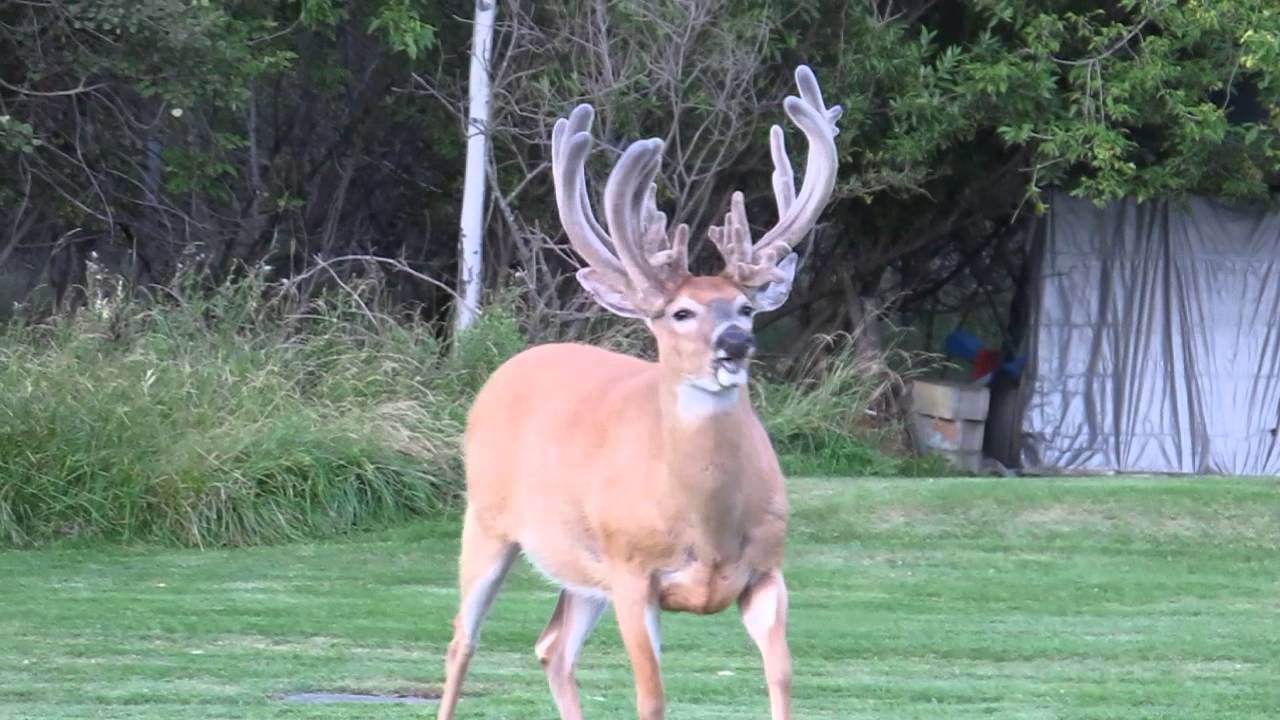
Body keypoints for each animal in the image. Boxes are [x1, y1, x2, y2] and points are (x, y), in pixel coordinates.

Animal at [436, 65, 841, 720]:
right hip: (488, 522)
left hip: (581, 569)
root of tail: (507, 367)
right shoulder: (631, 572)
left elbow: (781, 676)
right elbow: (651, 696)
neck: (705, 527)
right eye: (680, 312)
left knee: (552, 647)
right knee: (461, 640)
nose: (735, 344)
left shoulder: (767, 571)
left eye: (746, 307)